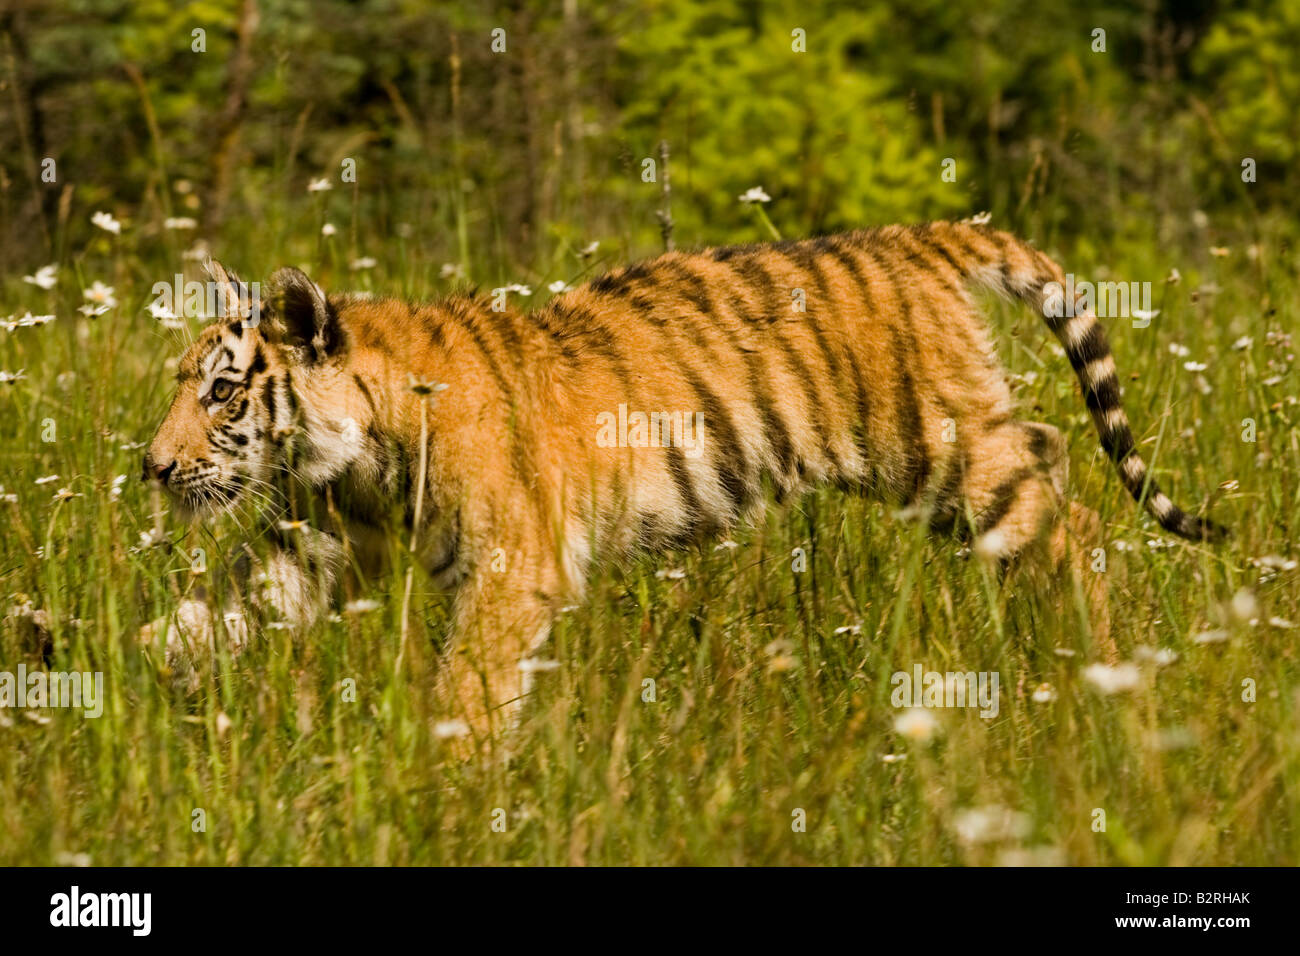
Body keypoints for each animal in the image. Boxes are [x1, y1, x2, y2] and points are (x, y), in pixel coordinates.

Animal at [143, 221, 1225, 740]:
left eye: (222, 392)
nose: (152, 467)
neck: (358, 455)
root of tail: (916, 238)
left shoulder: (512, 570)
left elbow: (468, 689)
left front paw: (446, 780)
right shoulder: (322, 545)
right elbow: (217, 612)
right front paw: (129, 676)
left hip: (941, 451)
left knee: (1076, 521)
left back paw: (1100, 667)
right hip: (957, 455)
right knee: (1047, 452)